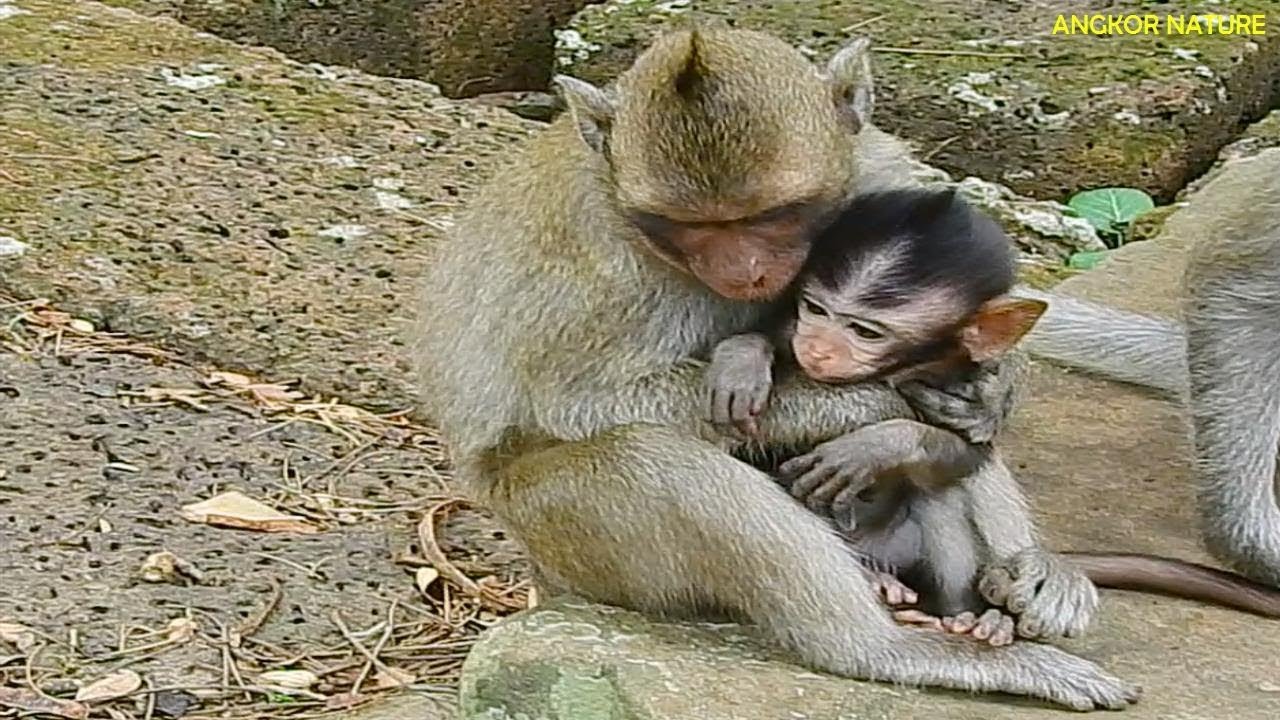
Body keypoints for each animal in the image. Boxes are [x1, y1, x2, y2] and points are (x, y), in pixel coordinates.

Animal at [412, 26, 1138, 710]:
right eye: (690, 226)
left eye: (770, 215)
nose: (744, 270)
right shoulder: (597, 266)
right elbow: (581, 400)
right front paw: (877, 410)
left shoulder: (876, 170)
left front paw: (995, 384)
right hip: (563, 536)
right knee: (653, 462)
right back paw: (888, 647)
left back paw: (1021, 587)